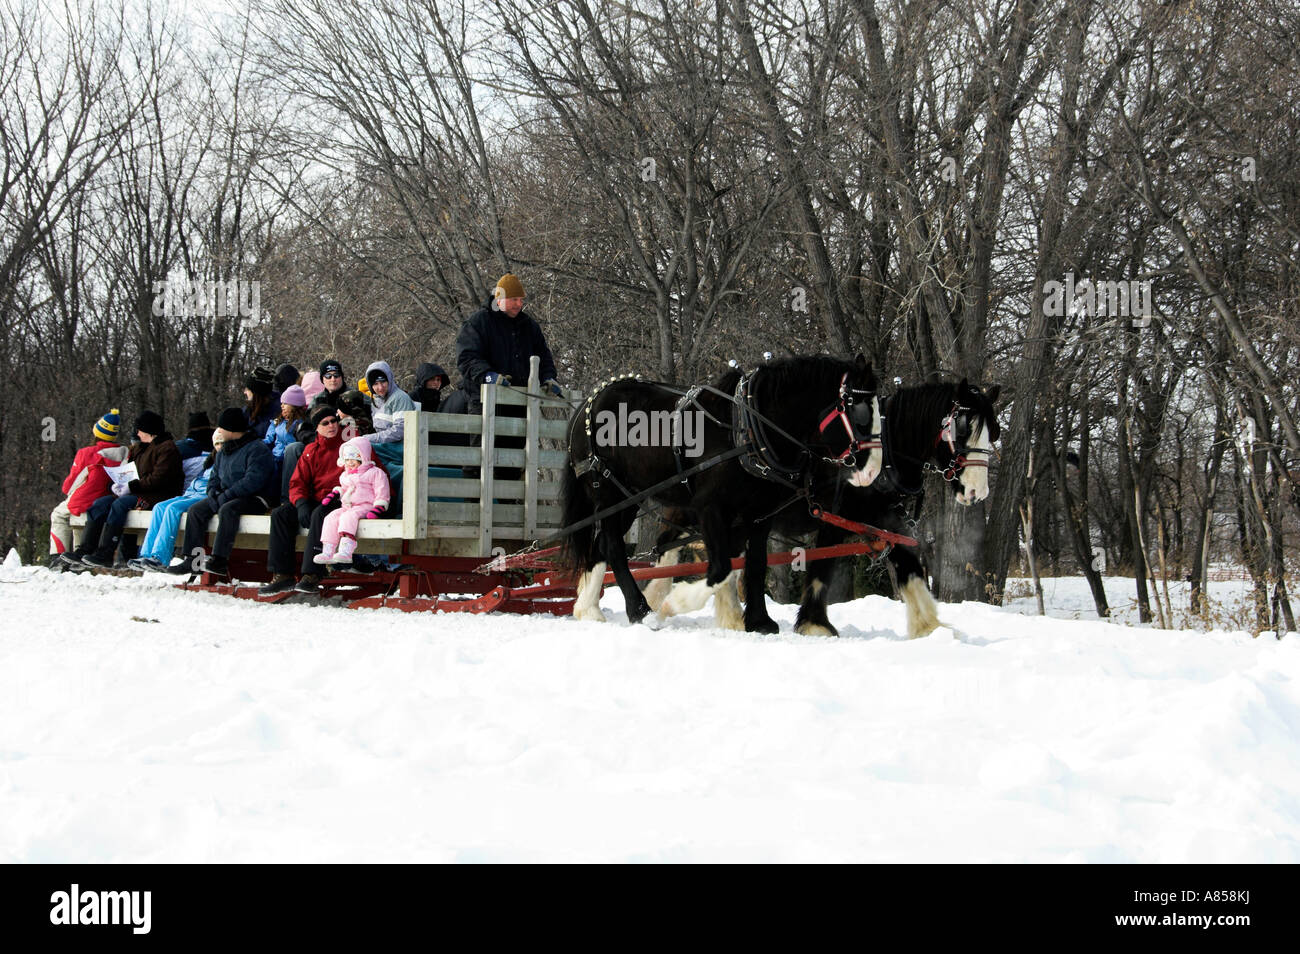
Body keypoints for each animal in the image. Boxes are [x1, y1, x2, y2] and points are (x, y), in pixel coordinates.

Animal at [560, 354, 882, 633]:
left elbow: (754, 565)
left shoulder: (759, 514)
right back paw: (640, 610)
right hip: (606, 490)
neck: (748, 431)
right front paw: (675, 603)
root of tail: (588, 402)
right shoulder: (710, 509)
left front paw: (759, 621)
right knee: (614, 546)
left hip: (629, 496)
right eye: (858, 410)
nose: (872, 471)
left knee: (602, 544)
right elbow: (720, 567)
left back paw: (589, 609)